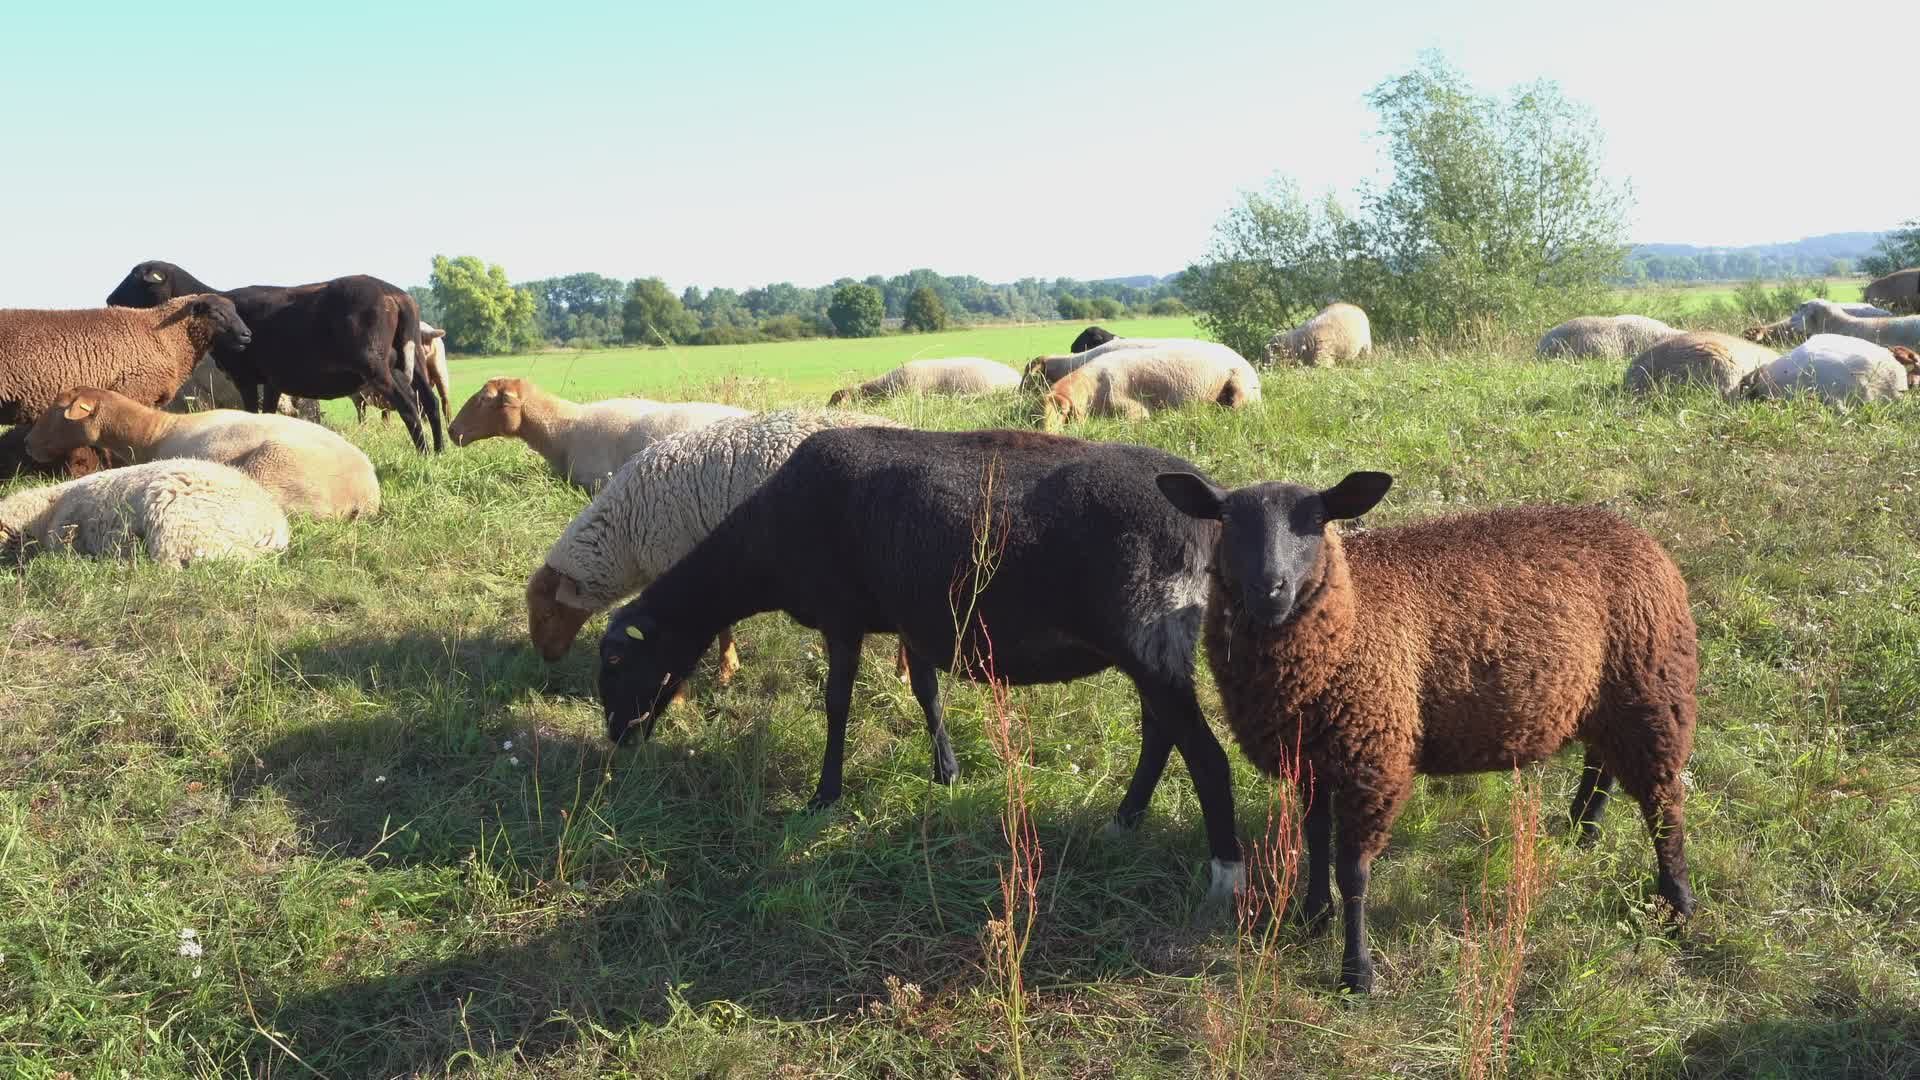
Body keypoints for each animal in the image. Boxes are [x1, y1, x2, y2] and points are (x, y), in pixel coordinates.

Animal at [528, 409, 903, 687]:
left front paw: (722, 671)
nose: (545, 659)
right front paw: (729, 667)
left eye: (547, 614)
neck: (625, 535)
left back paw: (902, 673)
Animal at [594, 426, 1248, 905]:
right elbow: (927, 694)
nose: (619, 741)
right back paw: (1122, 823)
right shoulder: (915, 623)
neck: (766, 545)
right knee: (1161, 733)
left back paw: (1224, 876)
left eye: (618, 660)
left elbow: (837, 703)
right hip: (1147, 648)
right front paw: (947, 772)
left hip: (1148, 635)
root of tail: (1207, 515)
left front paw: (823, 797)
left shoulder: (841, 615)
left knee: (1205, 755)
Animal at [1156, 470, 1698, 993]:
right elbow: (1314, 839)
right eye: (1227, 519)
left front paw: (1357, 973)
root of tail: (1636, 534)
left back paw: (1677, 905)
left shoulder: (1372, 760)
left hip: (1653, 687)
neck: (1349, 621)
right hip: (1604, 694)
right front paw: (1313, 917)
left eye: (1316, 519)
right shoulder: (1311, 759)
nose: (1270, 589)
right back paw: (1583, 827)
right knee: (1602, 758)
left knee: (1663, 803)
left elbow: (1352, 872)